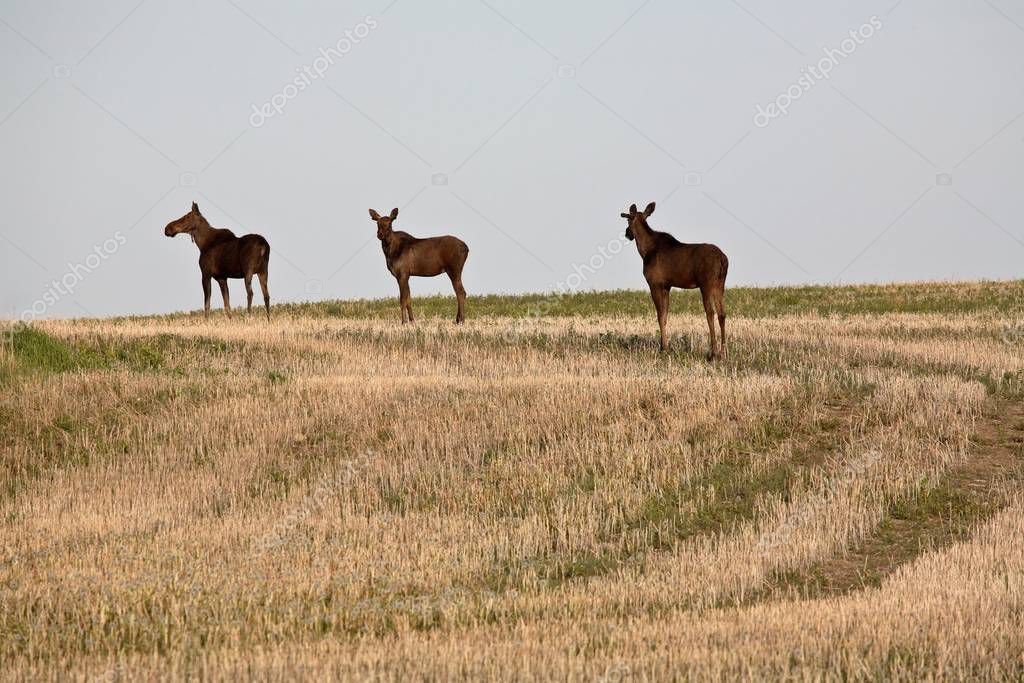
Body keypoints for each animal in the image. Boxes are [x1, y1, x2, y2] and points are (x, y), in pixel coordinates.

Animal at [621, 202, 729, 359]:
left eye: (628, 220)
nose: (627, 233)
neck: (644, 251)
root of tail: (723, 259)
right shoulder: (667, 286)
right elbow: (665, 316)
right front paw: (664, 346)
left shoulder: (655, 284)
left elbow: (660, 316)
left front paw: (664, 348)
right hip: (720, 284)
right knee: (722, 313)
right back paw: (723, 351)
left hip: (706, 284)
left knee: (710, 313)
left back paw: (713, 352)